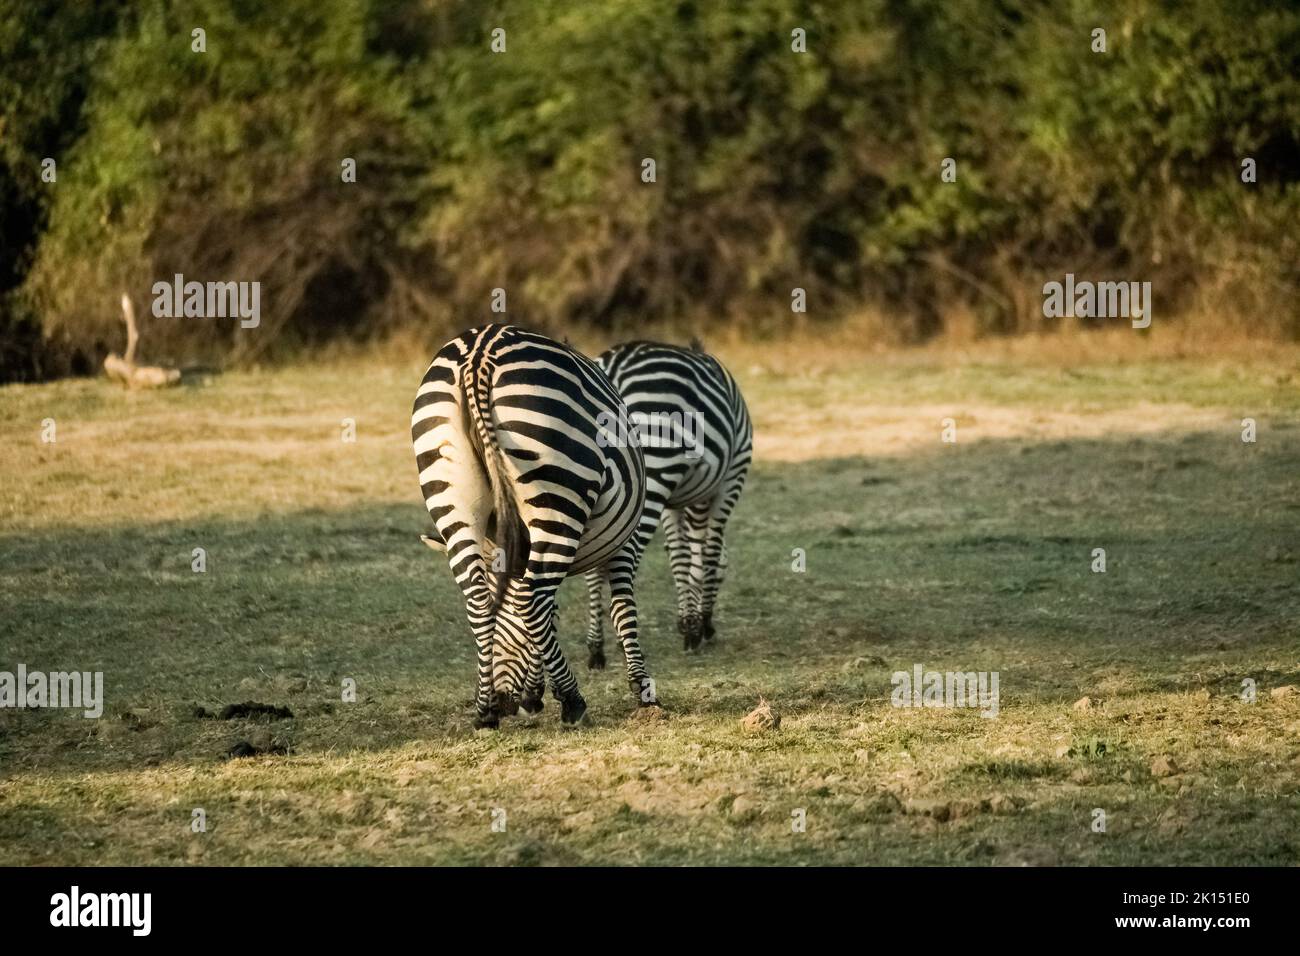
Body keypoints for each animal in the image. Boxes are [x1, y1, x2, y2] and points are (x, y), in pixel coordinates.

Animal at [412, 325, 659, 728]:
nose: (504, 701)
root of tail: (478, 354)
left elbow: (546, 619)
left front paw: (532, 690)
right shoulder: (624, 543)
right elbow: (621, 607)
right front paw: (642, 688)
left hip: (450, 495)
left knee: (478, 600)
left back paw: (485, 712)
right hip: (557, 487)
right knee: (533, 599)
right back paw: (573, 702)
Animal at [583, 340, 752, 665]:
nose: (706, 625)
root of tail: (612, 368)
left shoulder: (673, 503)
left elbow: (680, 556)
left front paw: (688, 622)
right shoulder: (732, 478)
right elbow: (710, 553)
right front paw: (701, 624)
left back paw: (596, 647)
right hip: (654, 471)